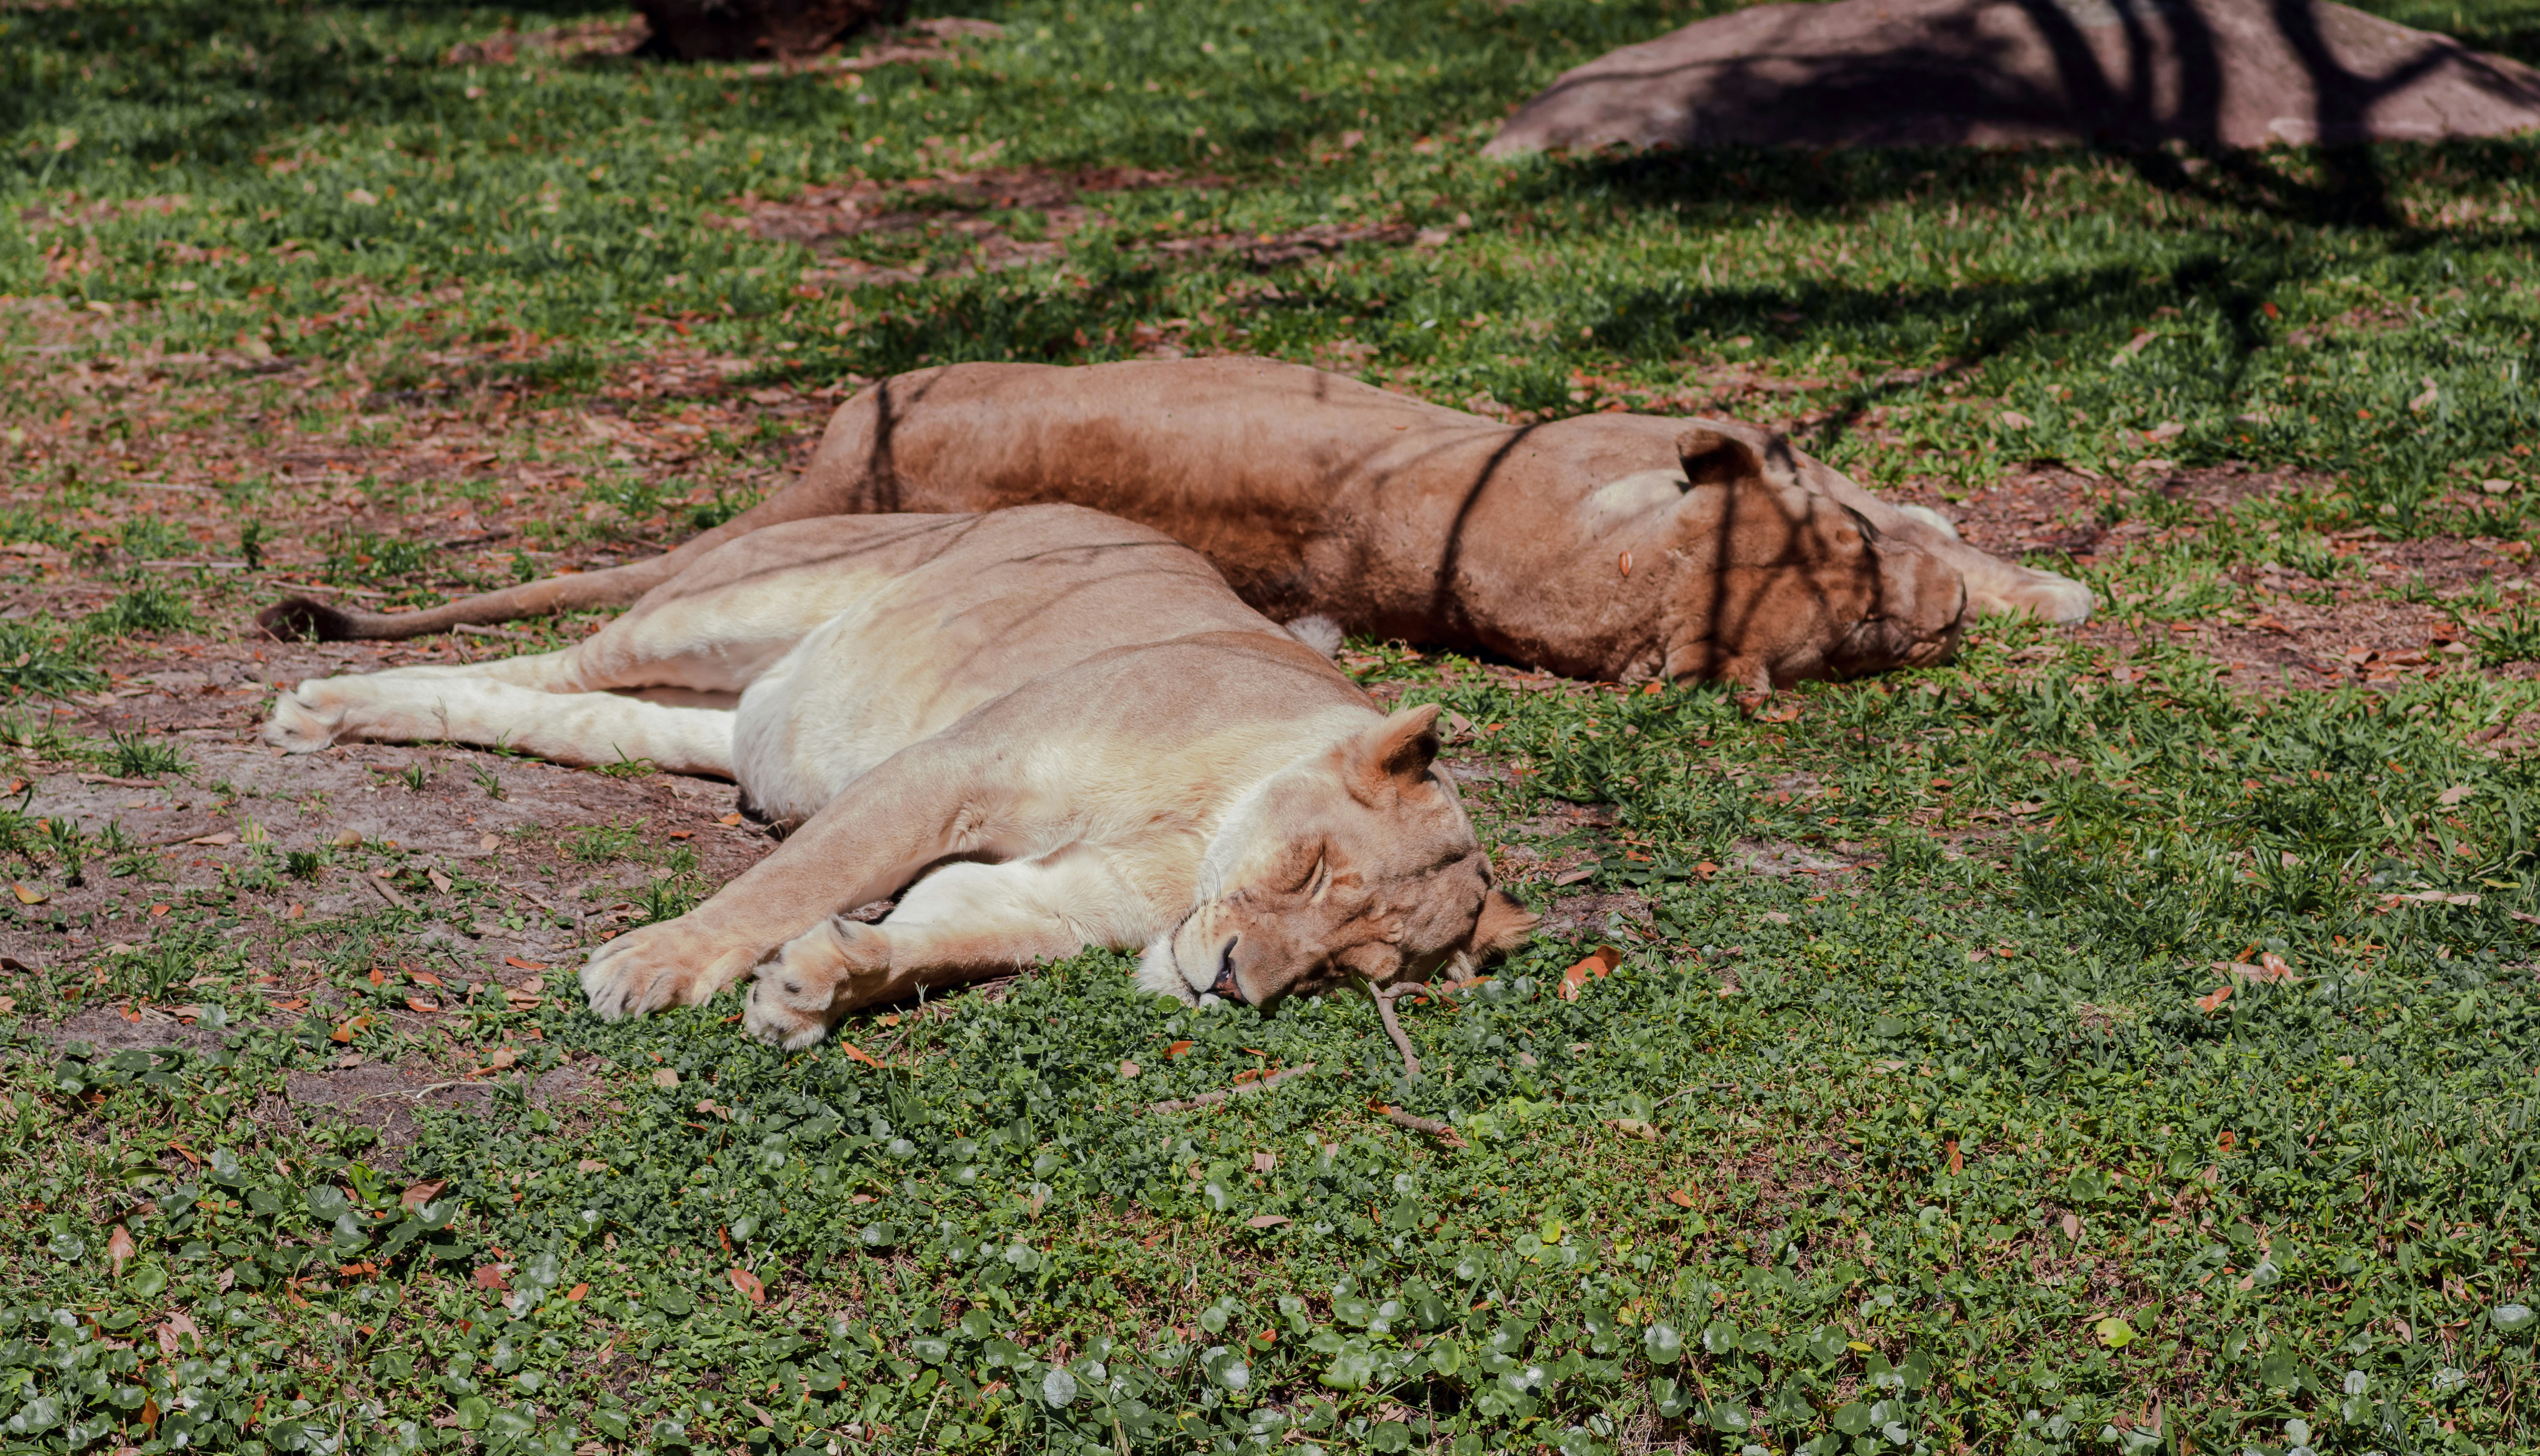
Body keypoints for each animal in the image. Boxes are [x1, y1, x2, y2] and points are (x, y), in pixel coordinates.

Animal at [260, 505, 1536, 1046]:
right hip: (733, 608)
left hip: (721, 721)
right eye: (1315, 870)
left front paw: (820, 984)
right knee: (549, 658)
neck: (1201, 840)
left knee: (554, 710)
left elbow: (941, 935)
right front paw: (661, 963)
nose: (1229, 981)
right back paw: (321, 704)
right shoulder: (944, 771)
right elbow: (785, 882)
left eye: (1351, 973)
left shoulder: (1043, 898)